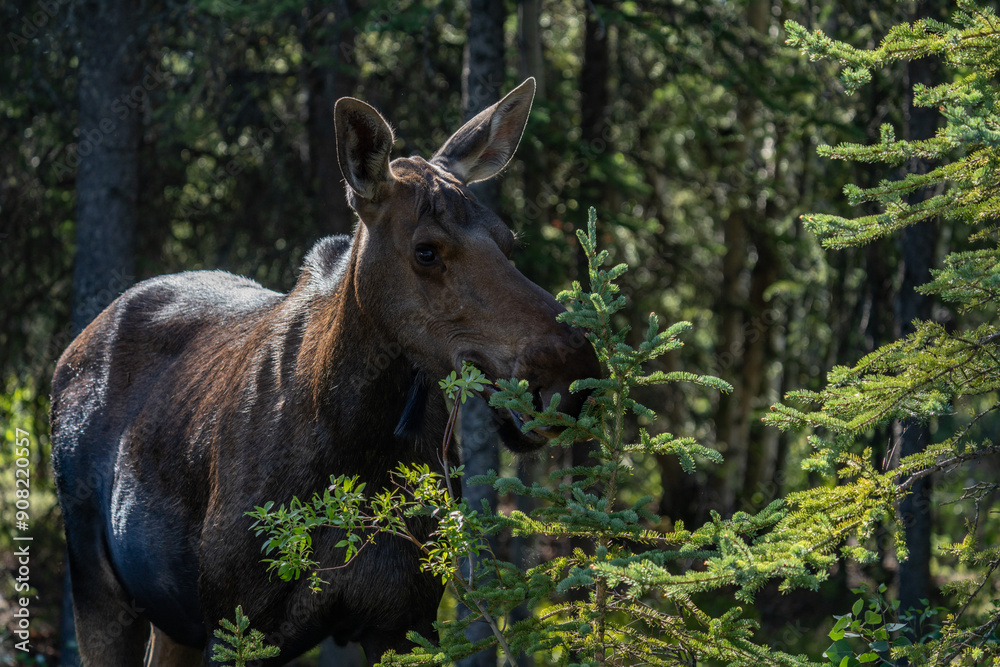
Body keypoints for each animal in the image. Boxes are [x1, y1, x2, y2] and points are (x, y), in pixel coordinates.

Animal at [50, 77, 600, 665]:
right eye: (426, 250)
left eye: (509, 241)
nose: (570, 372)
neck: (356, 442)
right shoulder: (236, 622)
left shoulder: (404, 619)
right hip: (99, 588)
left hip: (172, 619)